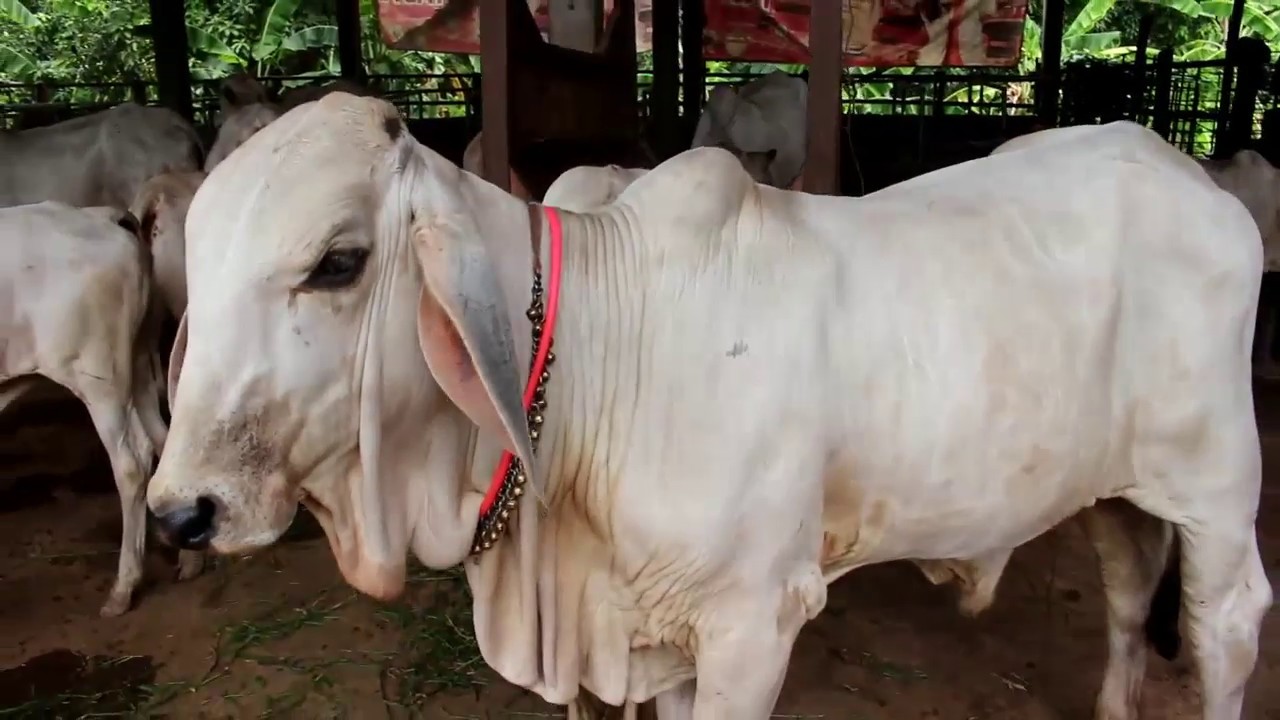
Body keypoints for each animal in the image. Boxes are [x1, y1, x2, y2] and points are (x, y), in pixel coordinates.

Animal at [0, 201, 196, 616]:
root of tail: (102, 216)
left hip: (99, 377)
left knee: (131, 466)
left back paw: (124, 587)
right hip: (138, 361)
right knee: (162, 441)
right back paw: (189, 559)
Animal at [145, 95, 1270, 720]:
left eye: (337, 263)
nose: (179, 512)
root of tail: (1191, 175)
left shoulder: (751, 621)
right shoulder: (662, 628)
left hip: (1217, 488)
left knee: (1222, 626)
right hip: (1117, 490)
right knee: (1128, 591)